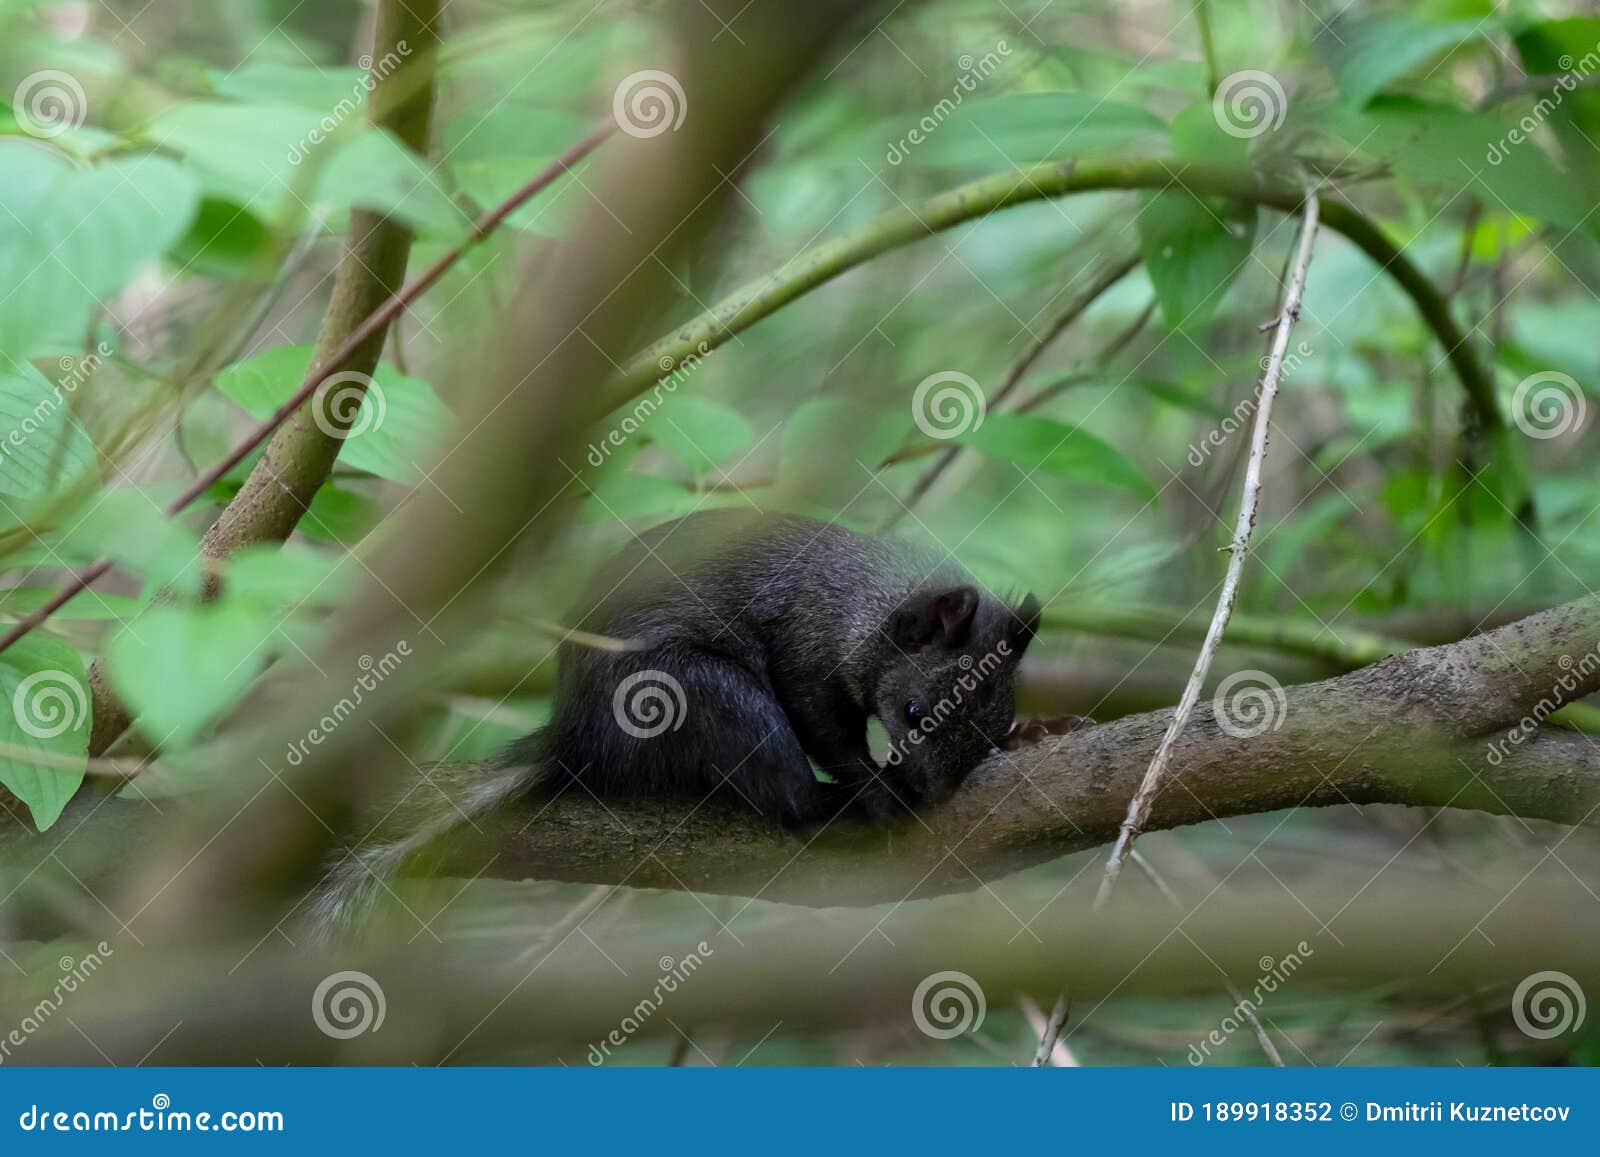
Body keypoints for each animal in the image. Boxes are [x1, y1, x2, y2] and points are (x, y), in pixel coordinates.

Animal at [311, 510, 1042, 929]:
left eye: (996, 721)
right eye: (913, 710)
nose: (931, 793)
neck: (863, 605)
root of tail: (575, 744)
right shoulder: (804, 658)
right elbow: (826, 730)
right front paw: (877, 788)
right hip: (707, 699)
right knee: (792, 802)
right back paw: (836, 808)